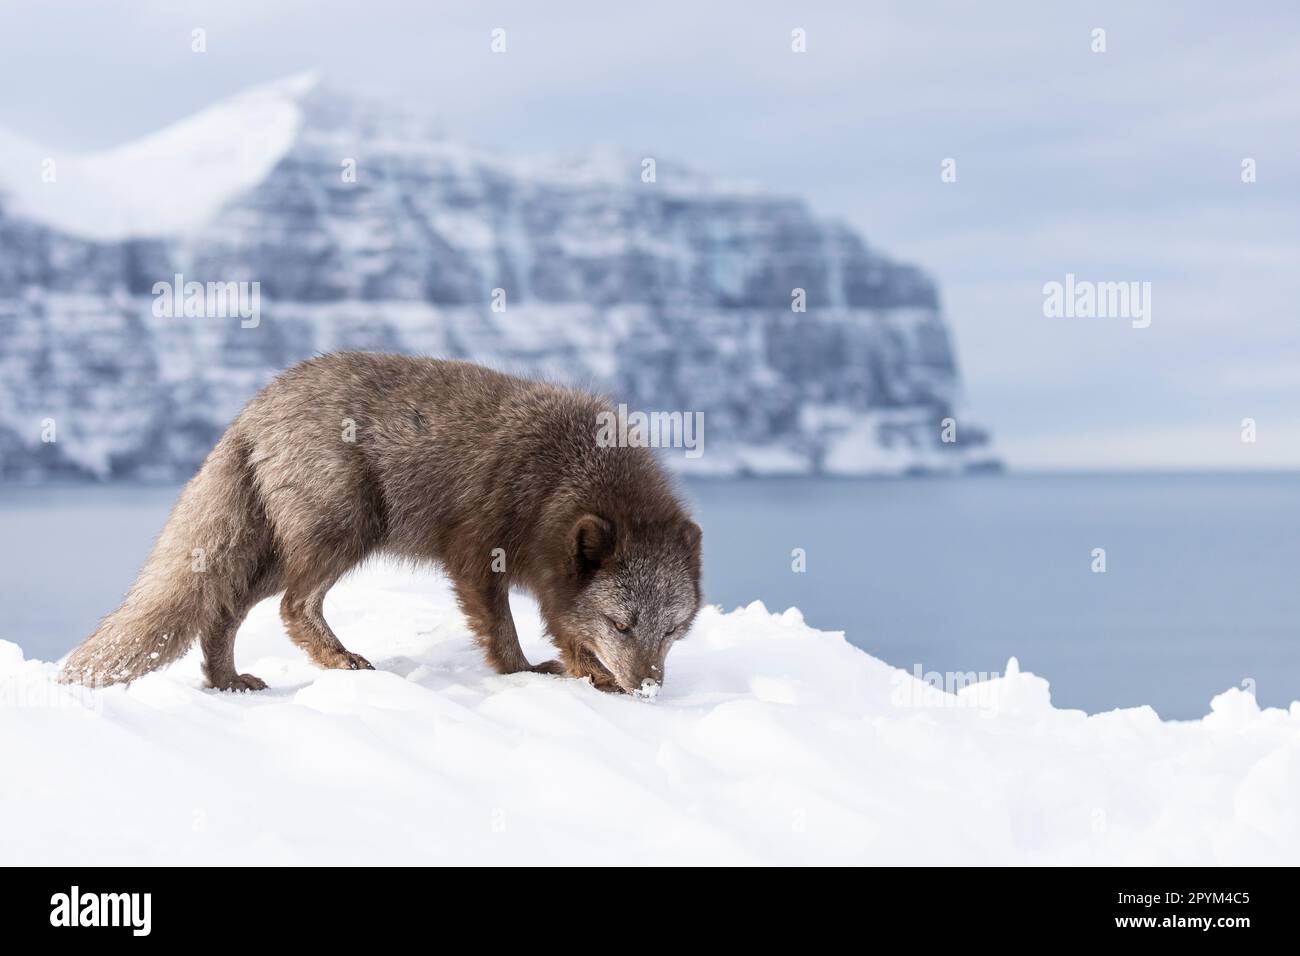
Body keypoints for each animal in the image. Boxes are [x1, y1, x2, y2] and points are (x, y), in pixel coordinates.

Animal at [60, 353, 703, 697]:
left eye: (673, 632)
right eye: (621, 625)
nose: (649, 688)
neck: (561, 476)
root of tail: (252, 409)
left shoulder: (549, 577)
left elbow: (564, 625)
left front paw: (586, 671)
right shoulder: (476, 554)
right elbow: (505, 631)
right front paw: (530, 672)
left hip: (278, 549)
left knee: (225, 608)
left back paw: (227, 680)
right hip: (346, 527)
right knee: (291, 606)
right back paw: (339, 659)